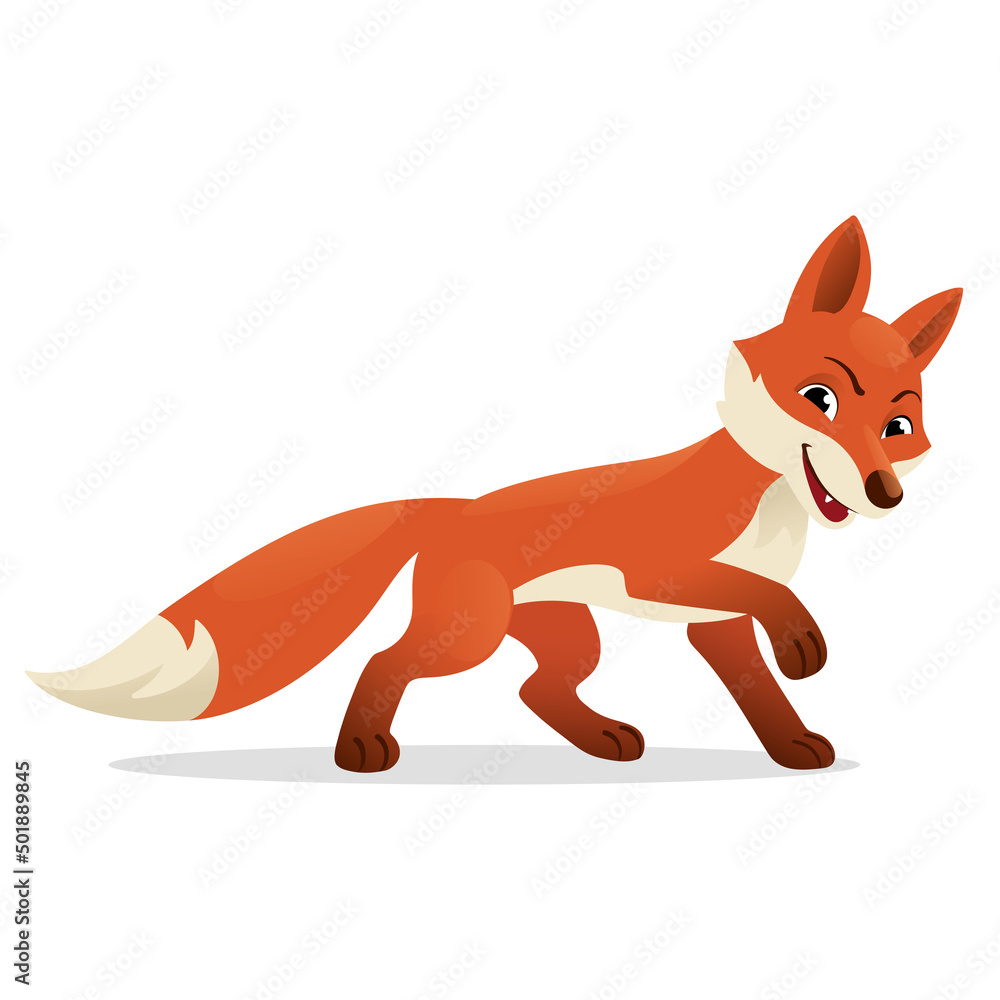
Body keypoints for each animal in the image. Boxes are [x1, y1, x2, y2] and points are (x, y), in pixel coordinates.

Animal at [28, 217, 962, 772]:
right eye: (820, 399)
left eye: (898, 426)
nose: (884, 495)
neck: (766, 507)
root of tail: (453, 508)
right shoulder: (666, 573)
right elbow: (777, 607)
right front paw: (803, 641)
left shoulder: (713, 621)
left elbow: (759, 688)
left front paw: (793, 743)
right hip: (466, 634)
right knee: (387, 660)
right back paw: (362, 746)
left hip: (565, 635)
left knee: (537, 690)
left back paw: (603, 740)